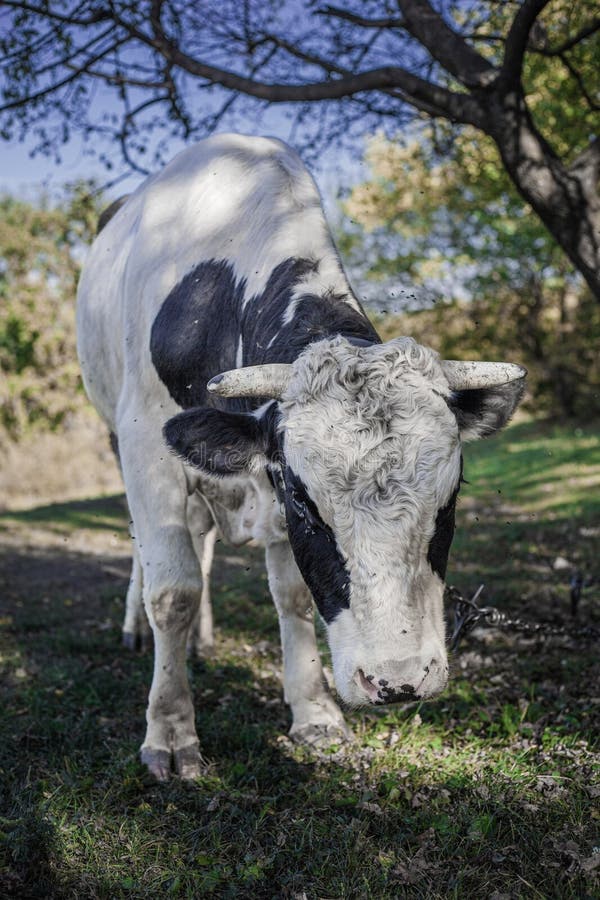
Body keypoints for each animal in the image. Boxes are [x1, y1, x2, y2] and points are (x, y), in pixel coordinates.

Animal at [76, 133, 525, 781]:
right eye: (306, 506)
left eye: (450, 500)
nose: (398, 680)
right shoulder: (148, 447)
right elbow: (172, 590)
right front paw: (170, 731)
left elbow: (290, 597)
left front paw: (315, 716)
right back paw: (138, 629)